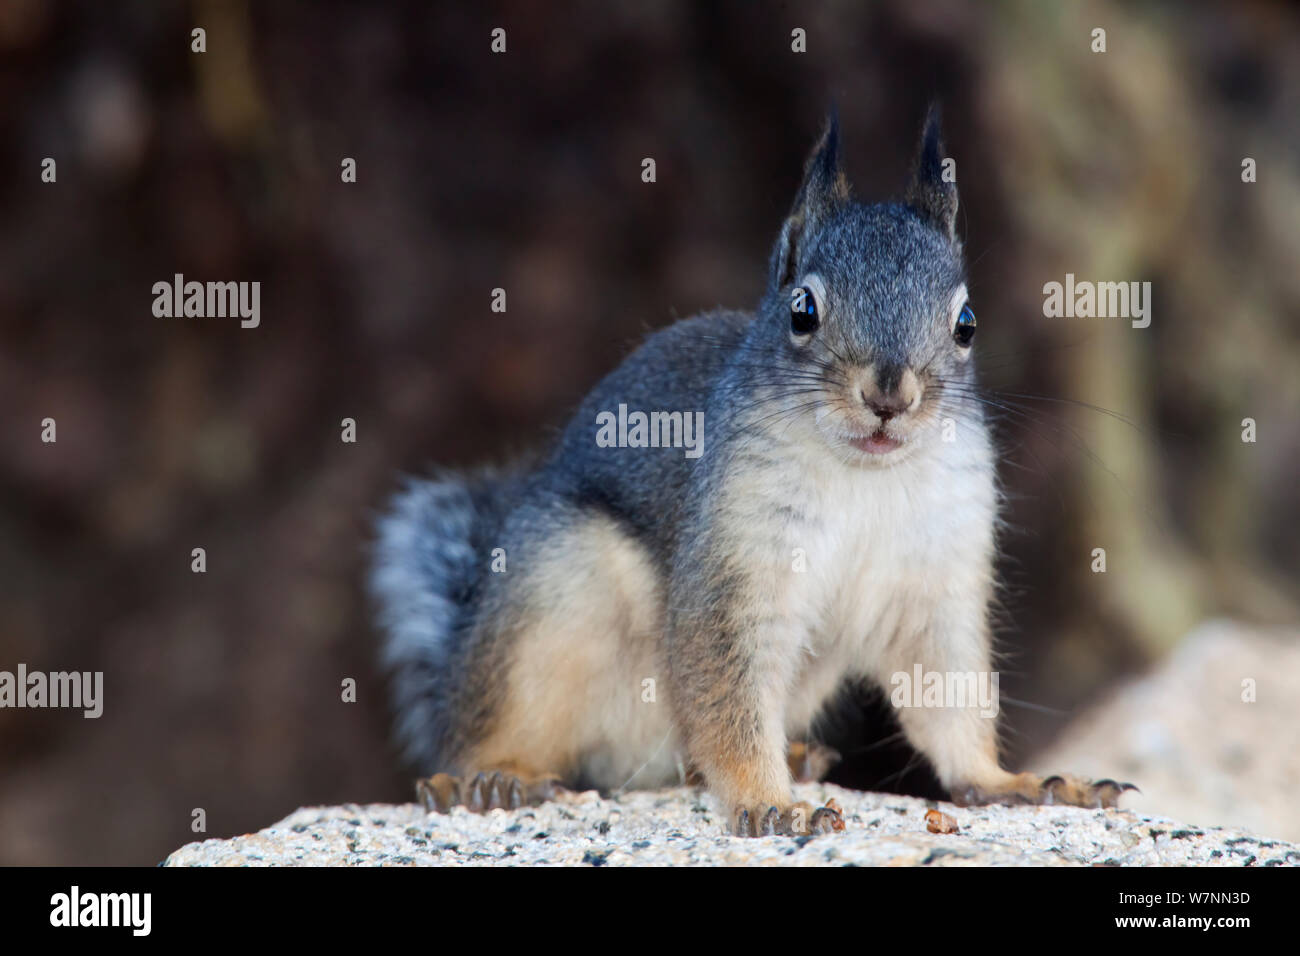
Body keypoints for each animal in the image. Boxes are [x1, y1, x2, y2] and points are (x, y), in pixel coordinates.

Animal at [369, 106, 1135, 836]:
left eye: (967, 322)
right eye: (803, 310)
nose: (890, 396)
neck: (866, 475)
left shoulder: (935, 576)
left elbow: (947, 698)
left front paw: (1014, 782)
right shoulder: (738, 557)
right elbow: (729, 696)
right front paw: (771, 806)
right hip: (552, 601)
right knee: (495, 728)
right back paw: (491, 778)